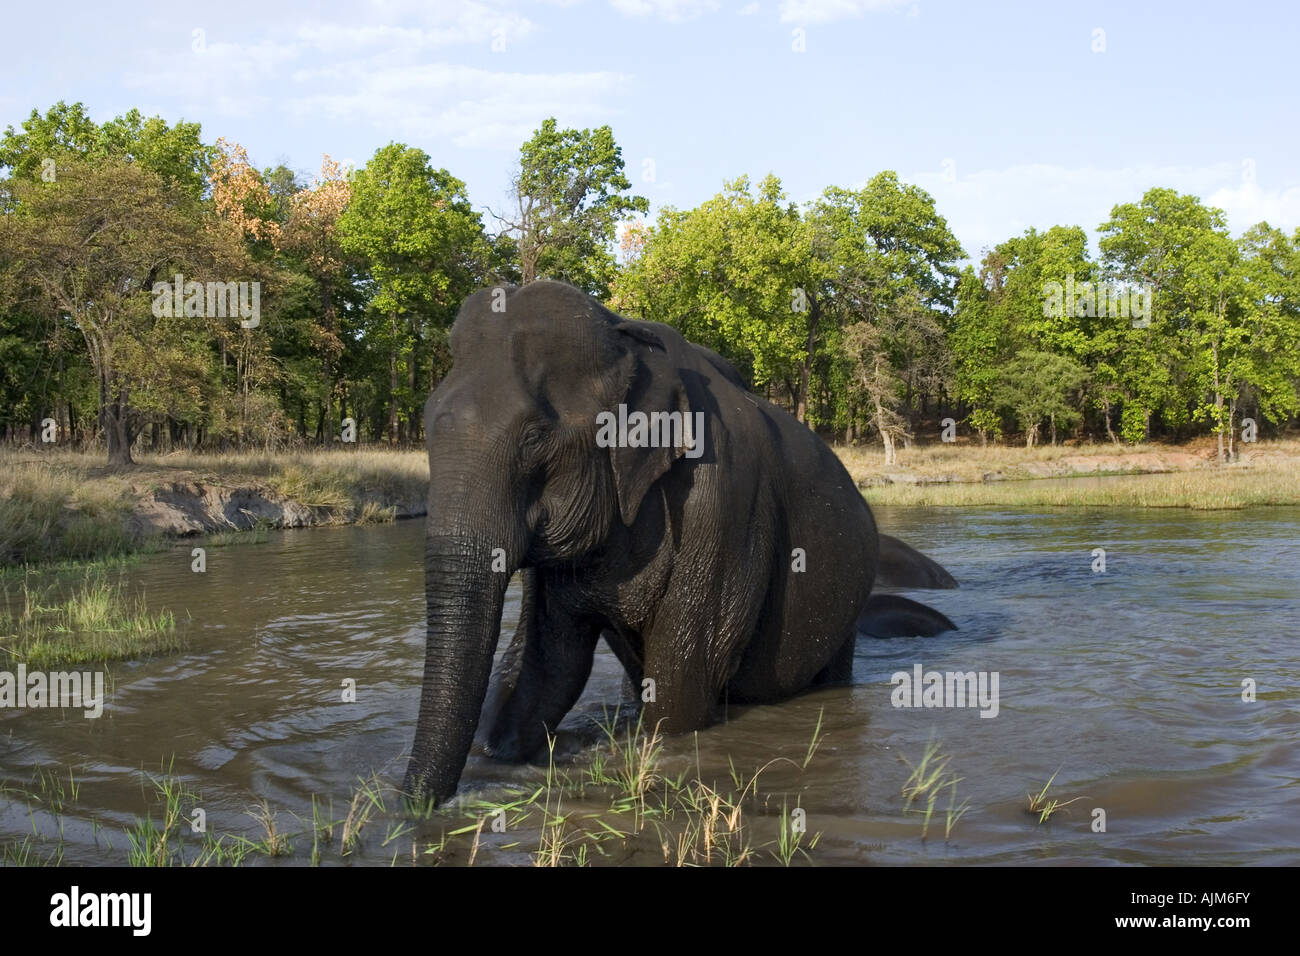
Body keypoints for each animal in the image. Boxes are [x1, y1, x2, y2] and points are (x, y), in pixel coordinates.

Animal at [402, 280, 957, 803]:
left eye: (535, 437)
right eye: (426, 421)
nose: (416, 809)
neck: (622, 334)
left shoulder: (723, 502)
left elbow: (682, 680)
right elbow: (550, 668)